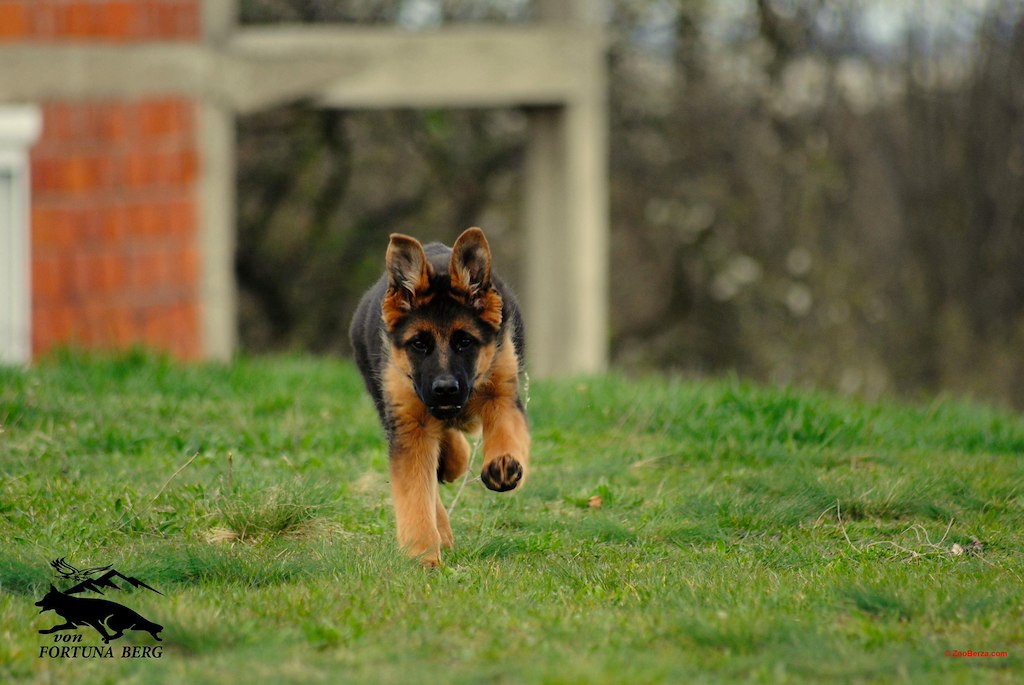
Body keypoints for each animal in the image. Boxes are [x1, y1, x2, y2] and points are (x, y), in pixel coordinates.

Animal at [350, 227, 532, 565]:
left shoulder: (502, 391)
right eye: (419, 344)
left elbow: (505, 429)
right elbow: (414, 494)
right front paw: (422, 556)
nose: (445, 388)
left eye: (465, 342)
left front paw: (503, 463)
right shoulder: (409, 424)